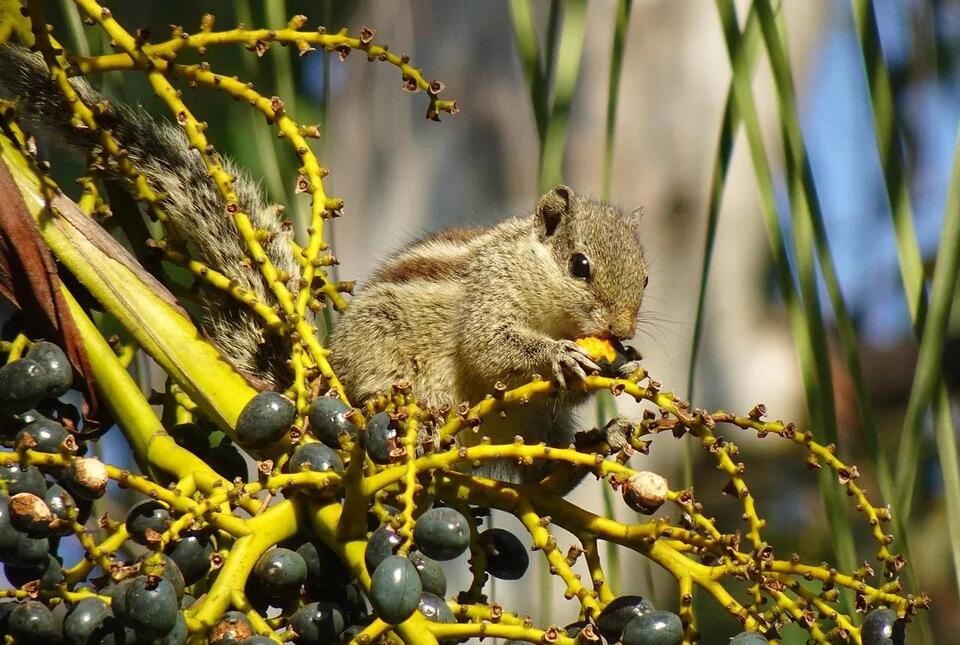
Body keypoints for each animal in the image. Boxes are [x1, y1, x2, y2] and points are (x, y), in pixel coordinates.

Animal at [0, 44, 648, 487]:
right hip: (386, 361)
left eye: (645, 279)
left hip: (533, 432)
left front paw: (625, 364)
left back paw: (603, 441)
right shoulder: (490, 293)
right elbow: (492, 345)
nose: (621, 330)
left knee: (548, 471)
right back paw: (420, 421)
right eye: (580, 265)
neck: (534, 273)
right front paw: (556, 355)